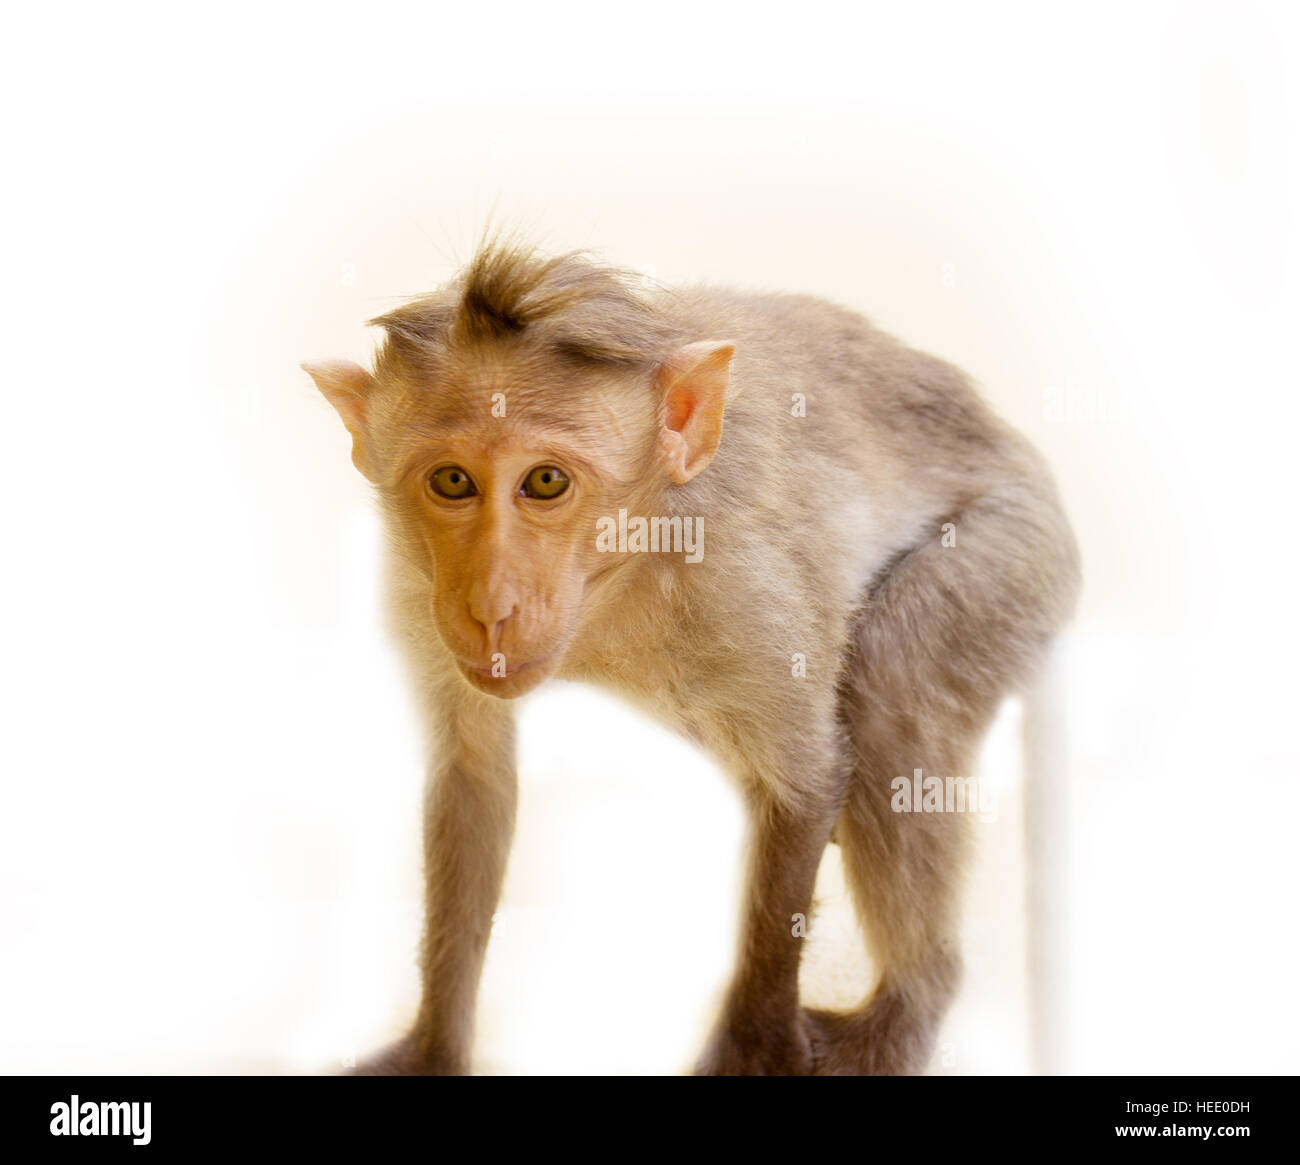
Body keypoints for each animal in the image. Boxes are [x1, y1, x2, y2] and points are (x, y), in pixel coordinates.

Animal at [303, 239, 1080, 1076]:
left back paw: (908, 1006)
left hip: (1017, 551)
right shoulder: (420, 589)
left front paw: (756, 1044)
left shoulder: (744, 581)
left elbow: (804, 785)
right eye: (452, 481)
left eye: (544, 481)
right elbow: (473, 780)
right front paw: (434, 1049)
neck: (622, 568)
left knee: (893, 687)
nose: (490, 605)